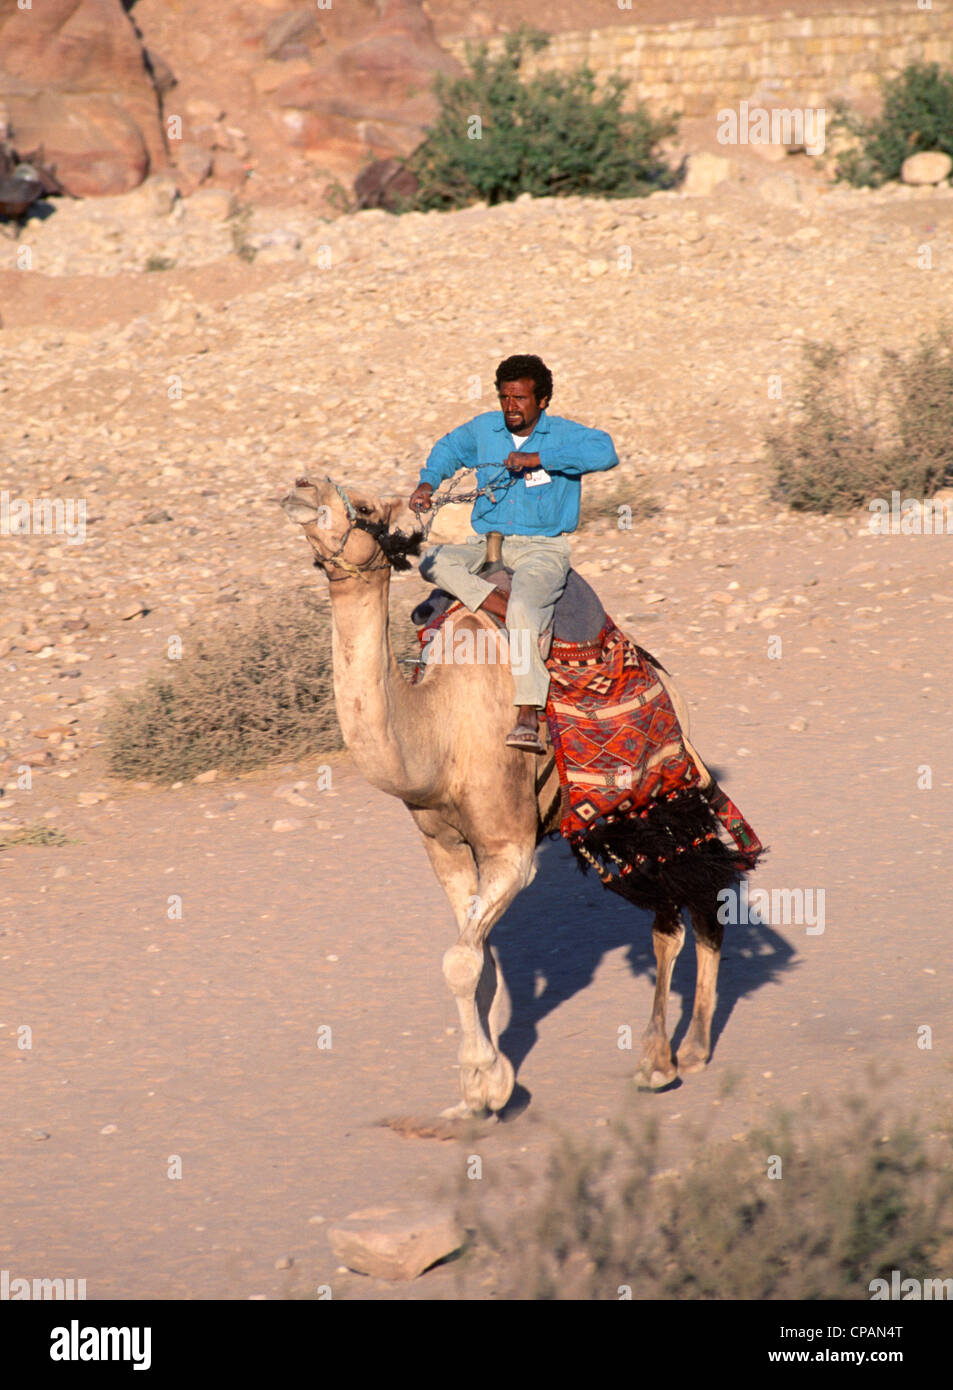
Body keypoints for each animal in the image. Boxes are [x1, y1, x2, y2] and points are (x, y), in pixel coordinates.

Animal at [281, 476, 736, 1119]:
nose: (302, 487)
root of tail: (669, 683)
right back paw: (684, 1050)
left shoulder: (510, 848)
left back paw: (665, 1059)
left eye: (365, 505)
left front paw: (484, 1084)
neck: (439, 729)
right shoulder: (444, 847)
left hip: (651, 798)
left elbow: (459, 961)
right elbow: (482, 962)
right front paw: (485, 1082)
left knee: (684, 904)